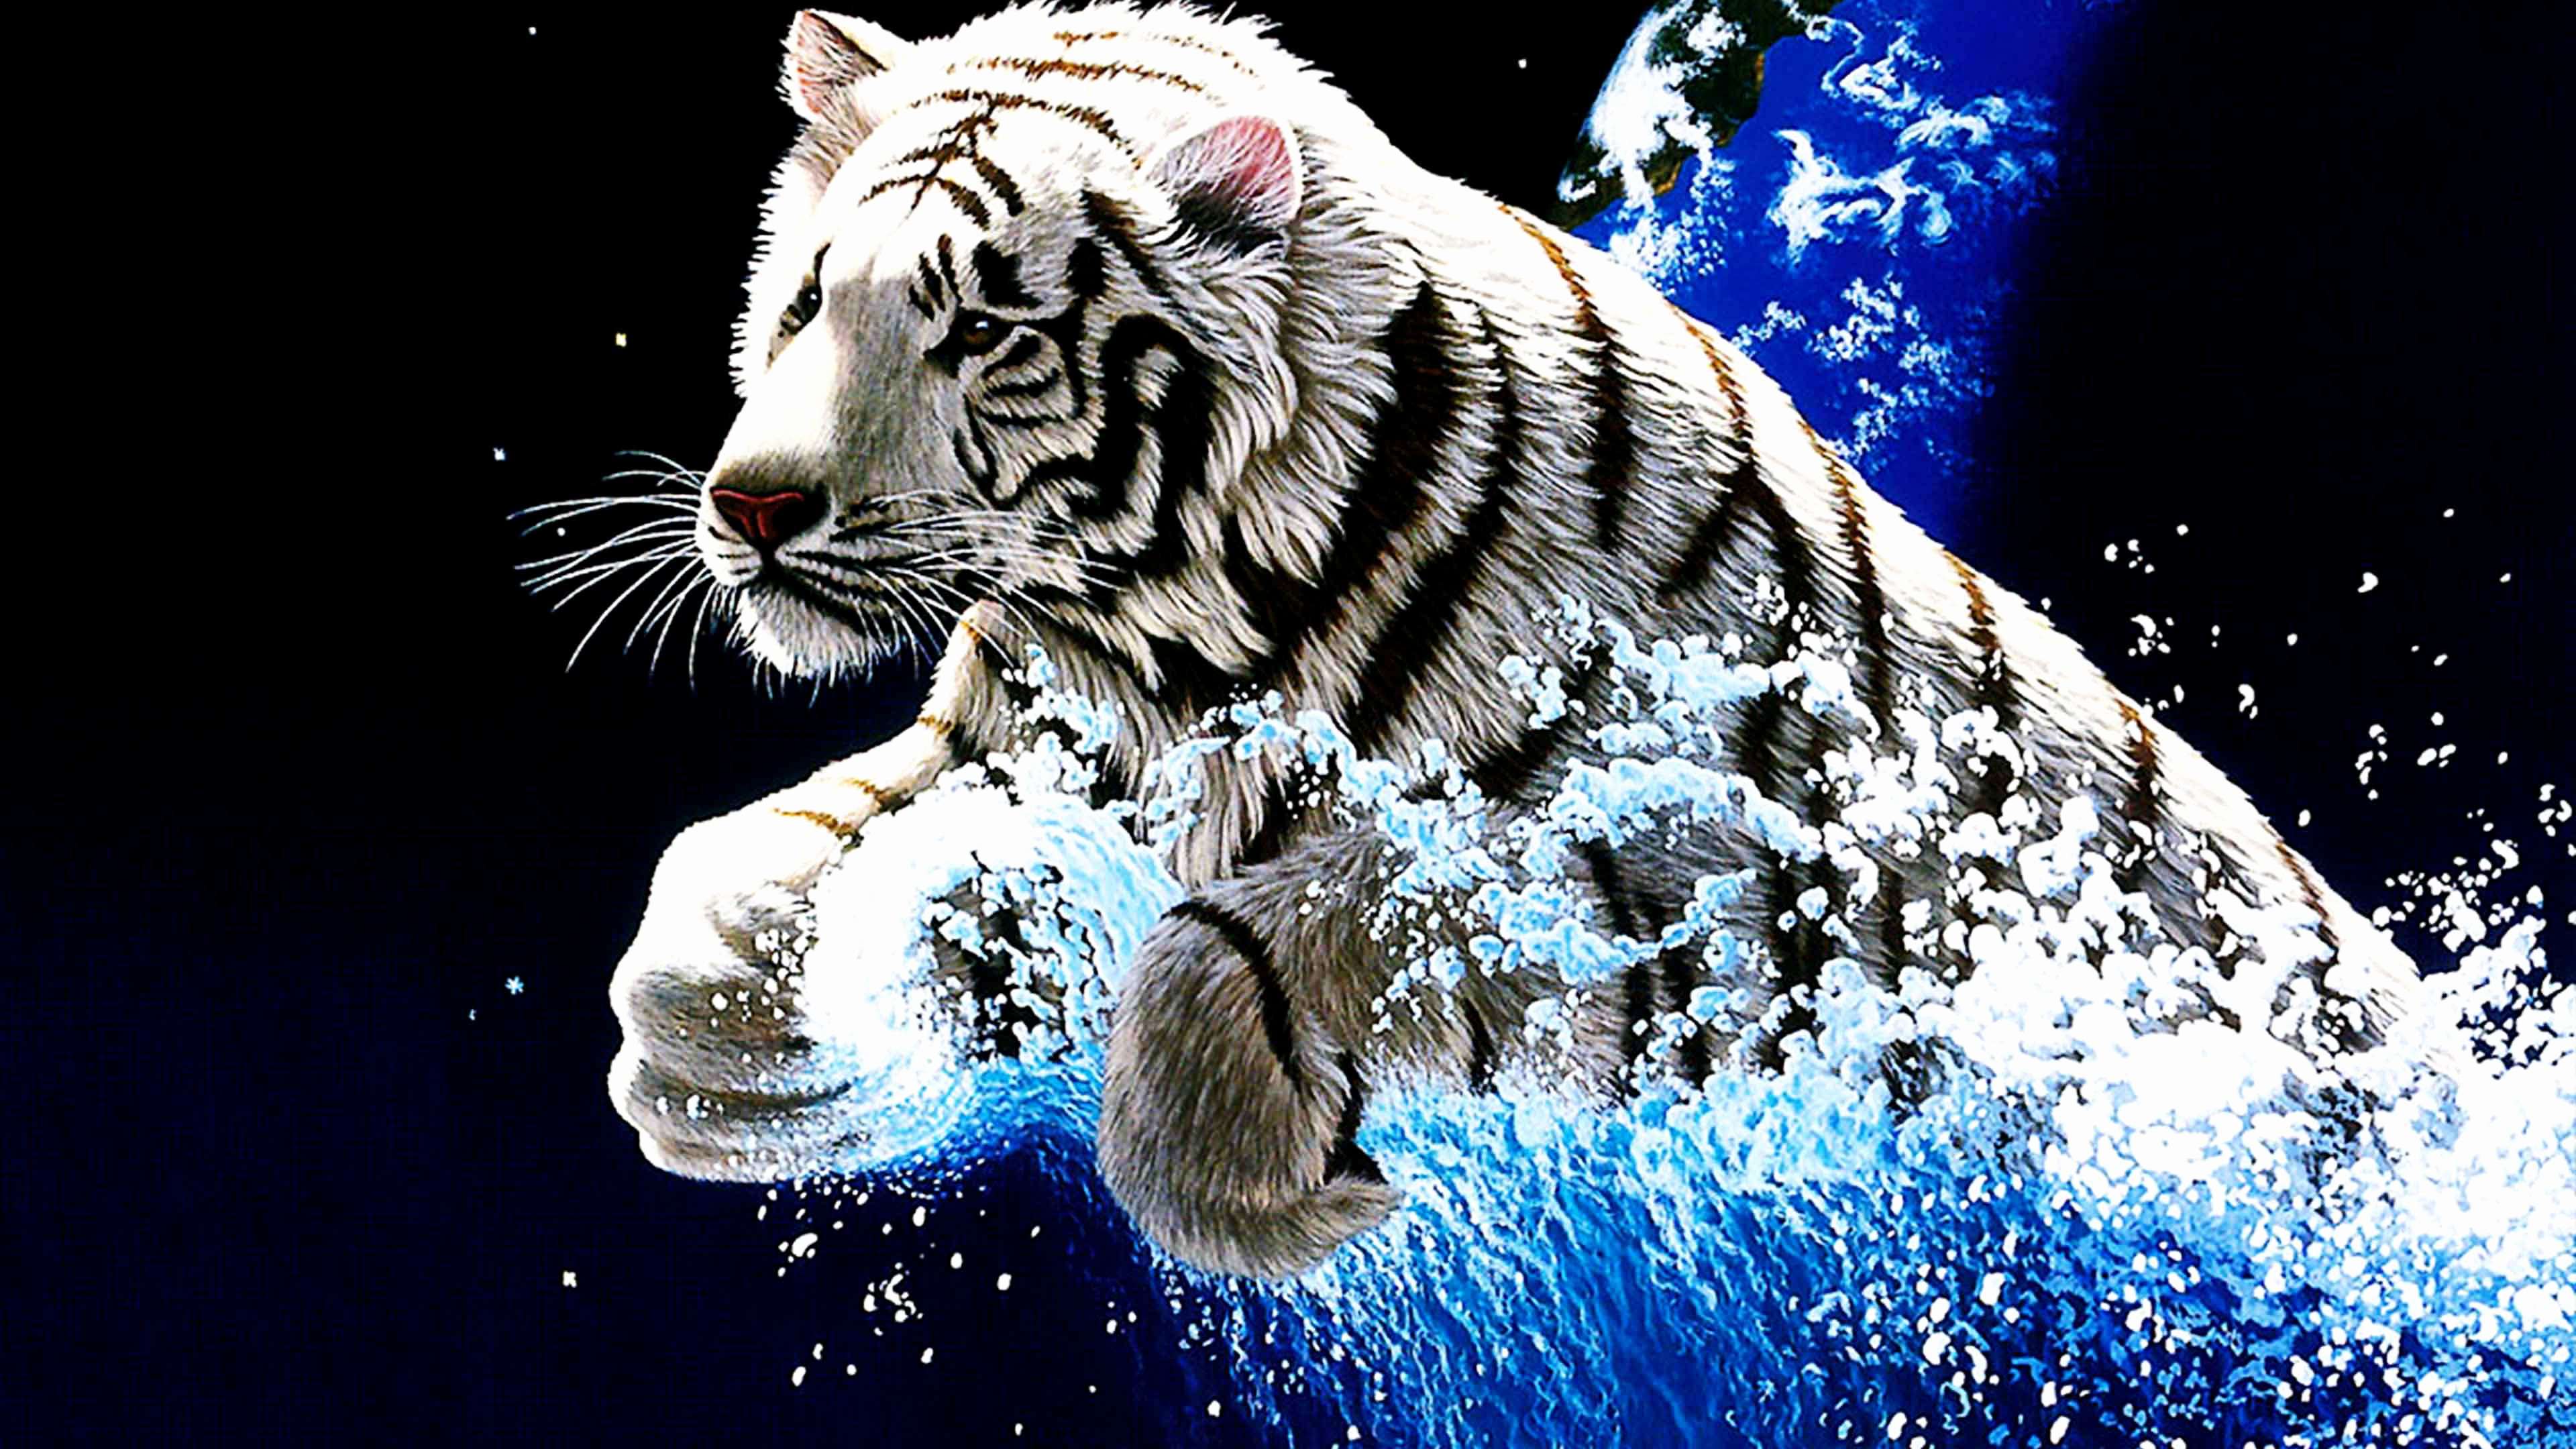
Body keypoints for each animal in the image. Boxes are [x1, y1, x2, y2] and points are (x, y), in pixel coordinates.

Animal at [603, 2, 2426, 1279]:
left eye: (983, 329)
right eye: (805, 302)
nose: (752, 507)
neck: (1159, 632)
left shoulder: (1710, 895)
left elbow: (1266, 929)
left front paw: (1274, 1194)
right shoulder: (1011, 743)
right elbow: (749, 861)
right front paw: (724, 1046)